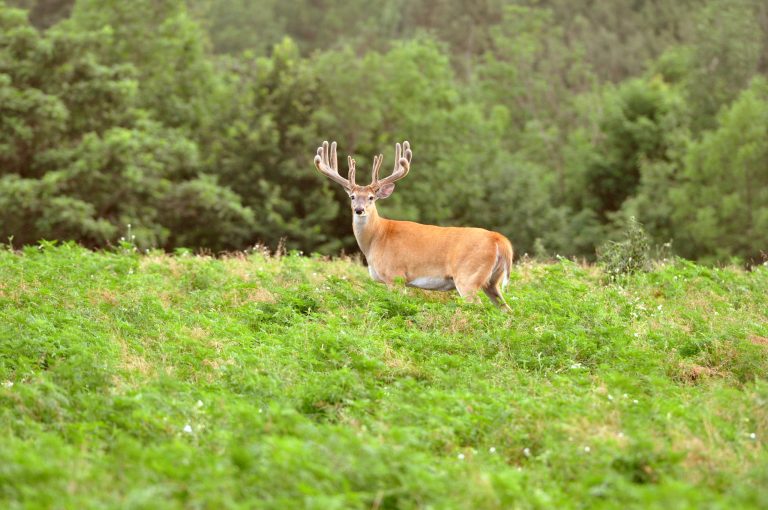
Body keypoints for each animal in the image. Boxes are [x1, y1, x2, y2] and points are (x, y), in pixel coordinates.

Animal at [313, 140, 513, 310]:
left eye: (371, 197)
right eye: (352, 196)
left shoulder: (395, 275)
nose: (359, 210)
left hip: (468, 277)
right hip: (492, 281)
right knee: (507, 309)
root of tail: (499, 240)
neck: (376, 238)